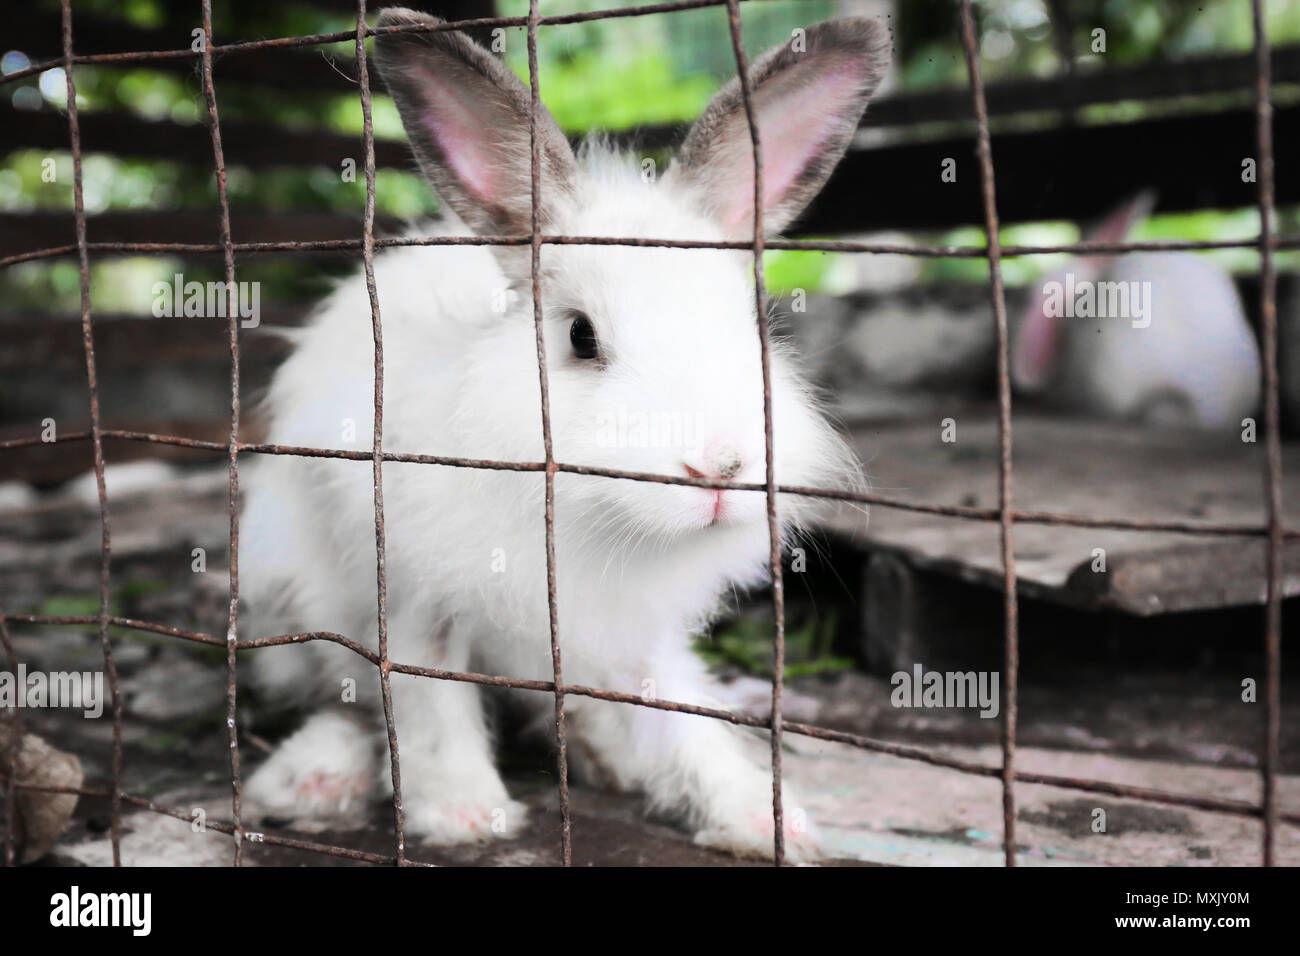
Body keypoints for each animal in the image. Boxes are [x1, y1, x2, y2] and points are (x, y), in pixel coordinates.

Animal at [237, 8, 888, 862]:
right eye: (581, 337)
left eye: (754, 325)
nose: (717, 469)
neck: (589, 521)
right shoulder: (414, 600)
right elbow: (425, 704)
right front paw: (465, 816)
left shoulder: (636, 634)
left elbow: (679, 719)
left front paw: (765, 818)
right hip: (291, 587)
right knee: (340, 699)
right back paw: (310, 781)